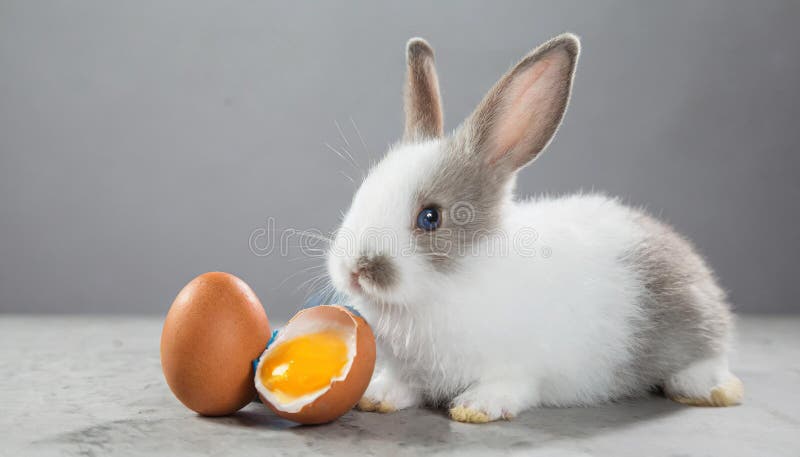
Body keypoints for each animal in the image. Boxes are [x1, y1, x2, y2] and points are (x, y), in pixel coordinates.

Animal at [325, 33, 743, 423]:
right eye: (363, 191)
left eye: (430, 217)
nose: (355, 269)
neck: (448, 283)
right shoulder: (412, 371)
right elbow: (403, 385)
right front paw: (377, 397)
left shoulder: (521, 369)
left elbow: (510, 385)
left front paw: (476, 408)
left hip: (694, 329)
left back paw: (712, 390)